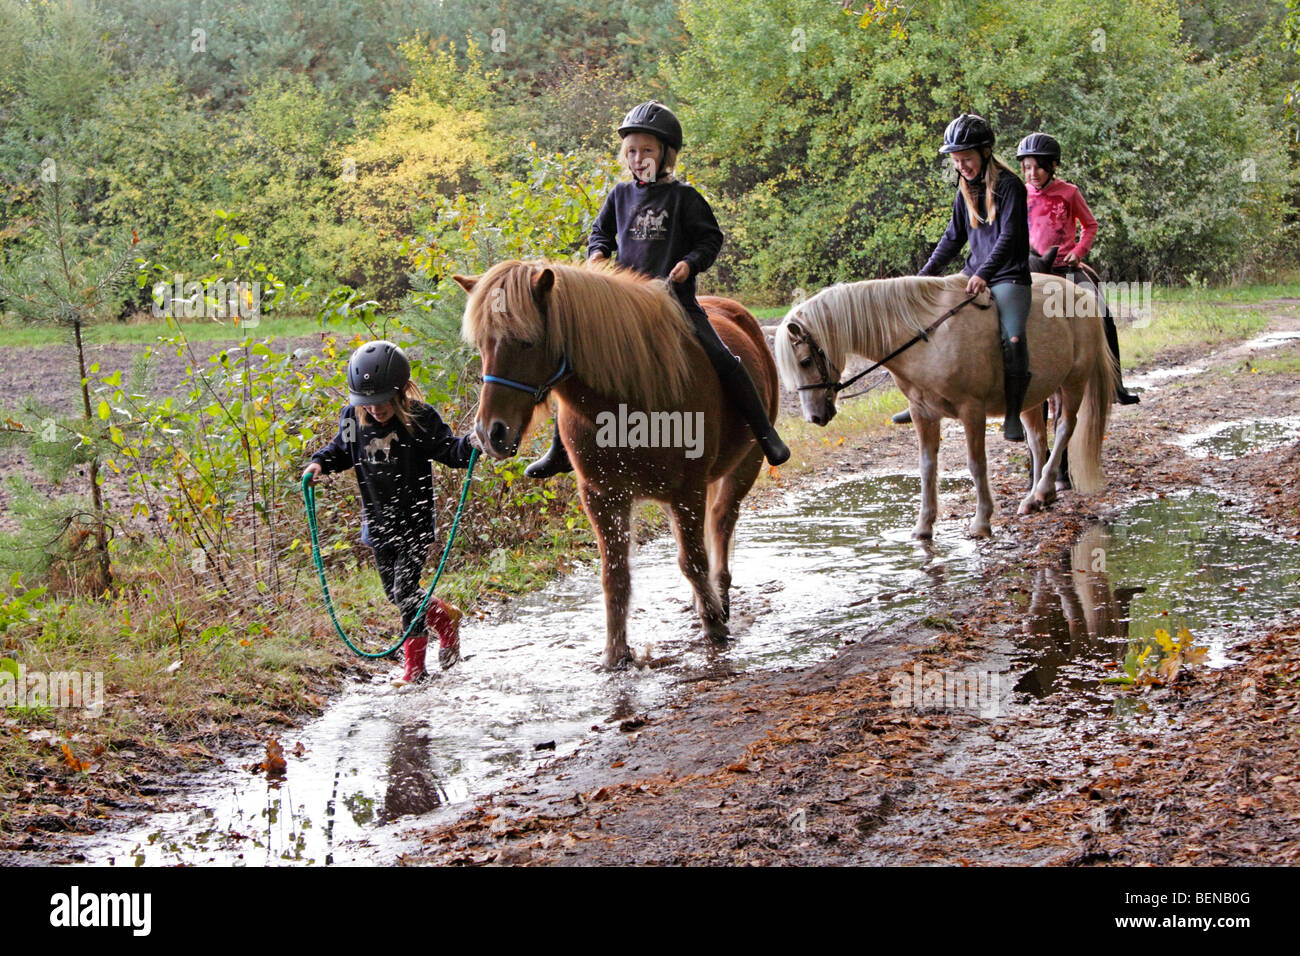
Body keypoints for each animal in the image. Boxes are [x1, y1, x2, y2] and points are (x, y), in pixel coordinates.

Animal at [455, 260, 778, 668]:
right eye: (481, 345)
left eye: (527, 342)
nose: (490, 433)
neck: (625, 401)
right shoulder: (602, 496)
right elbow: (615, 575)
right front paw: (615, 653)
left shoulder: (686, 491)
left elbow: (692, 561)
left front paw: (715, 628)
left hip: (745, 465)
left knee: (720, 523)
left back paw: (719, 599)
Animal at [773, 272, 1115, 538]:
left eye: (805, 361)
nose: (814, 417)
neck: (928, 340)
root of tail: (1083, 294)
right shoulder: (922, 412)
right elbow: (927, 467)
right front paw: (923, 526)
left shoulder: (971, 410)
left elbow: (976, 464)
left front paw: (981, 521)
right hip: (1033, 395)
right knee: (1037, 440)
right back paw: (1036, 497)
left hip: (1073, 383)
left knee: (1065, 429)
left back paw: (1043, 489)